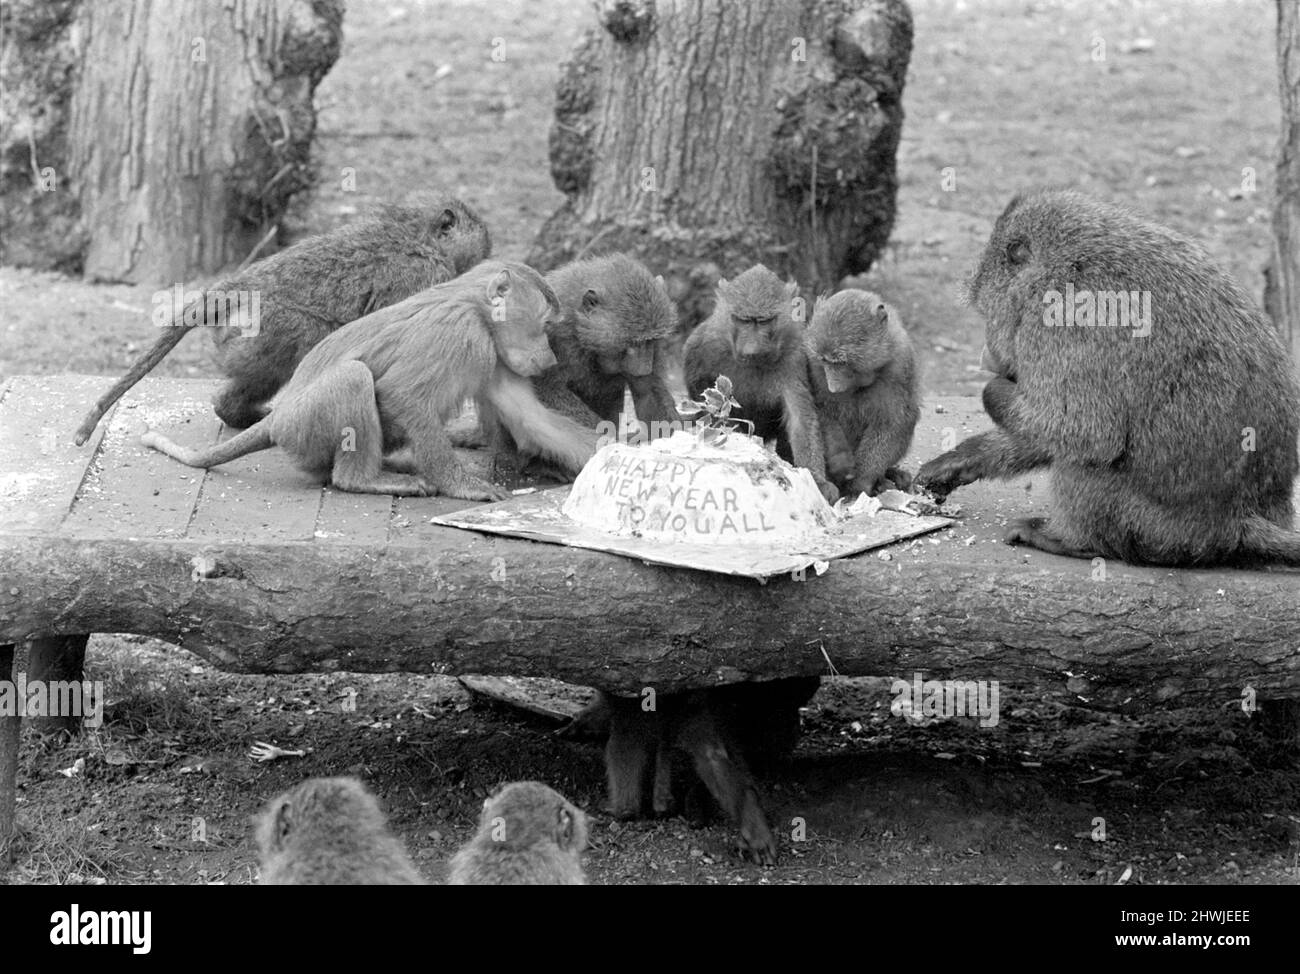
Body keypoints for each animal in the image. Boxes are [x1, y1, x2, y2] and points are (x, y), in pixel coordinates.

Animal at [73, 195, 491, 444]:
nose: (488, 254)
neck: (412, 234)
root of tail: (233, 286)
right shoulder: (424, 276)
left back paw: (235, 412)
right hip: (266, 329)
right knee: (304, 339)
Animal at [140, 261, 598, 499]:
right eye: (543, 325)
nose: (548, 355)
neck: (476, 309)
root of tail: (278, 420)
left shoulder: (495, 353)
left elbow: (526, 413)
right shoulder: (462, 335)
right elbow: (404, 394)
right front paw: (462, 487)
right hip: (305, 428)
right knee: (353, 377)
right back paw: (364, 479)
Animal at [683, 264, 838, 502]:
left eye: (764, 321)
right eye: (745, 320)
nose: (752, 351)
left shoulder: (795, 354)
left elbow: (800, 418)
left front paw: (817, 481)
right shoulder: (704, 344)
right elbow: (698, 388)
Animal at [805, 290, 921, 496]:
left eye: (841, 362)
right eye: (825, 361)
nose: (833, 387)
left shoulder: (901, 363)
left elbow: (894, 422)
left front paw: (862, 482)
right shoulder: (814, 366)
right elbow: (821, 411)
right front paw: (840, 460)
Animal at [916, 189, 1300, 567]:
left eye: (985, 315)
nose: (986, 354)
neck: (1059, 263)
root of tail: (1238, 521)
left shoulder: (1057, 322)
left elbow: (1089, 433)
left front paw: (992, 391)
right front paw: (962, 461)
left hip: (1150, 525)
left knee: (1090, 459)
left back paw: (1071, 541)